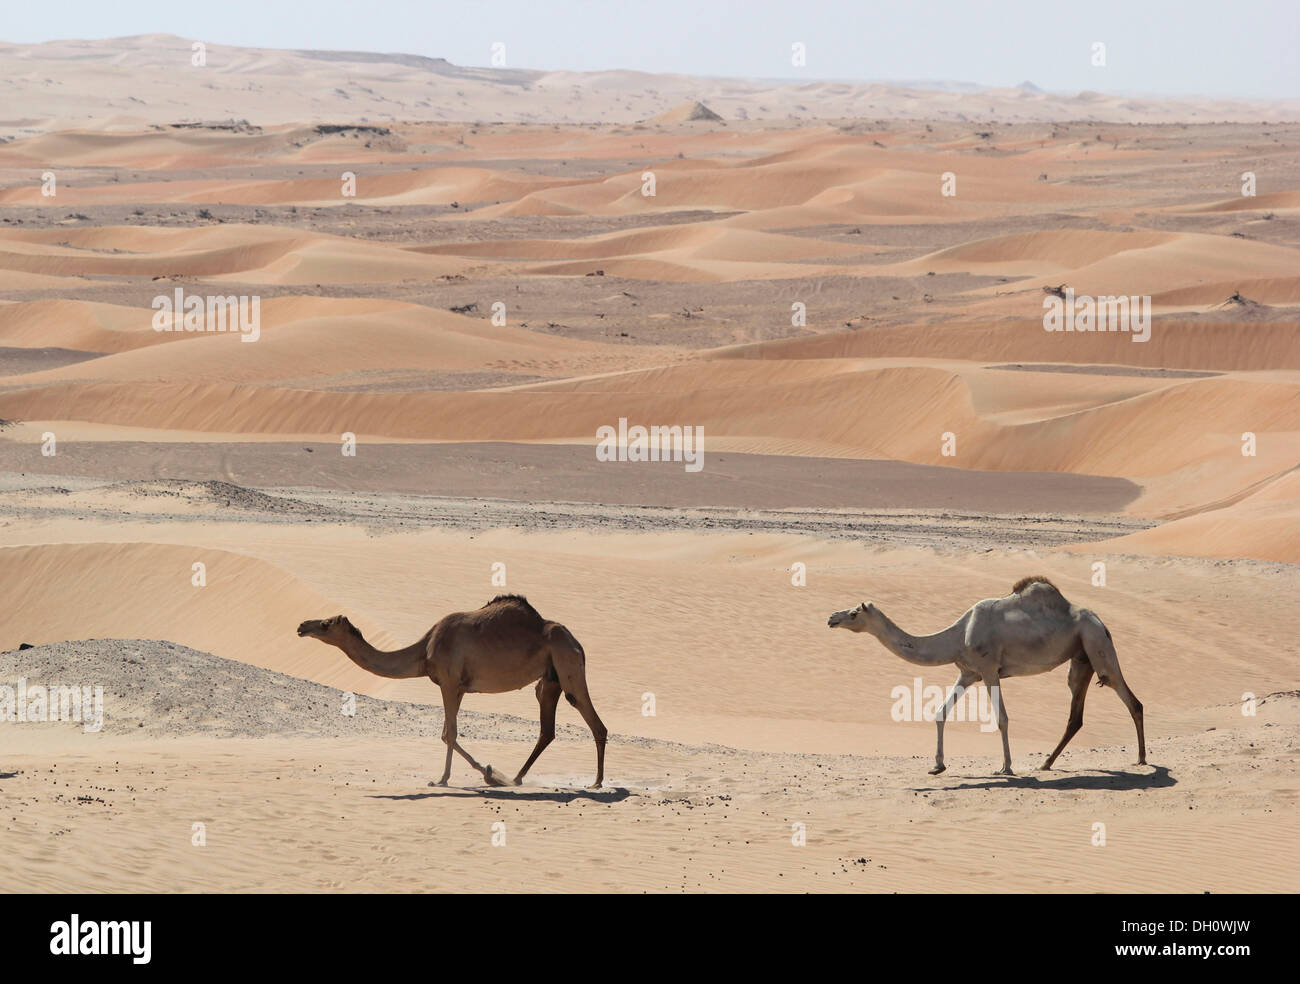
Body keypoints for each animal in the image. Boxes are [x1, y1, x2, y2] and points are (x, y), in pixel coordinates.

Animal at [297, 594, 607, 788]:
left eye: (325, 624)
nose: (301, 625)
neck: (424, 650)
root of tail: (577, 643)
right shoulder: (458, 688)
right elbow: (448, 733)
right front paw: (488, 774)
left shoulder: (448, 683)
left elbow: (450, 734)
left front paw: (449, 778)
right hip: (549, 678)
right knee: (547, 730)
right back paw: (517, 778)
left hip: (568, 665)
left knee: (593, 721)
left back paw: (596, 782)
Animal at [827, 576, 1145, 776]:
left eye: (855, 613)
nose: (832, 618)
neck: (958, 636)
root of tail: (1101, 622)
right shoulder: (969, 673)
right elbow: (941, 712)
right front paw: (937, 765)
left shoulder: (990, 669)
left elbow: (1001, 718)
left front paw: (1006, 767)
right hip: (1080, 658)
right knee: (1075, 716)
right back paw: (1046, 764)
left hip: (1096, 642)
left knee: (1130, 698)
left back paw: (1142, 759)